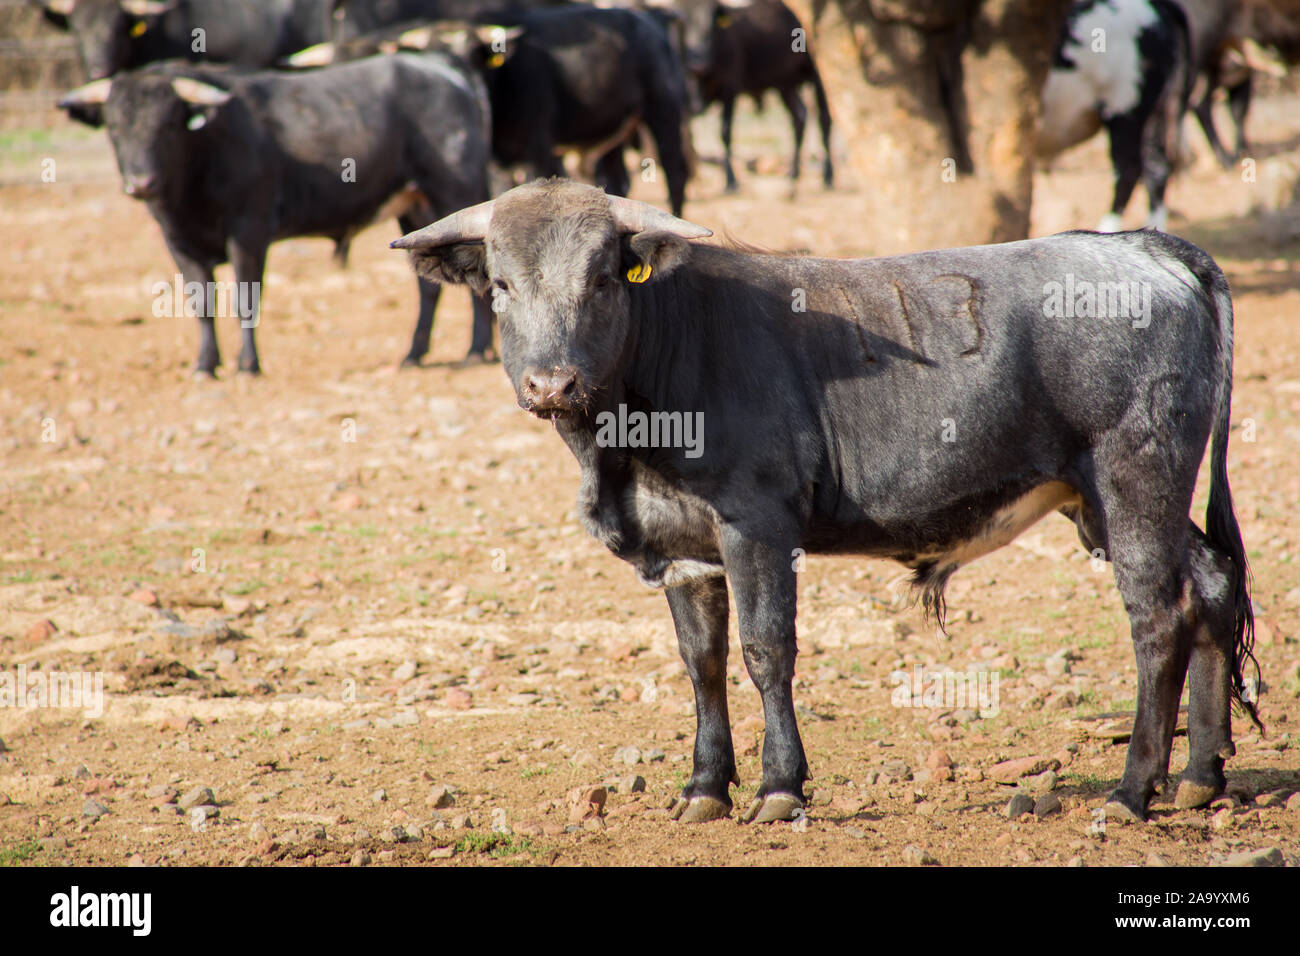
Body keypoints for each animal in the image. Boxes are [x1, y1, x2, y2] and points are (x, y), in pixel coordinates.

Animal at [58, 54, 495, 373]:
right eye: (114, 127)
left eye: (168, 124)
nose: (141, 183)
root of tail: (440, 66)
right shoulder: (178, 241)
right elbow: (202, 303)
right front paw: (206, 364)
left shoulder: (248, 233)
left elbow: (245, 298)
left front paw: (248, 364)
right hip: (416, 211)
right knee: (429, 287)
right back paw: (414, 354)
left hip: (455, 196)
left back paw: (476, 350)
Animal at [392, 178, 1260, 825]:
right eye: (501, 287)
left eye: (601, 278)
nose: (551, 384)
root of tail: (1140, 244)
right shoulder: (685, 553)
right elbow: (702, 664)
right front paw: (703, 788)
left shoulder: (758, 527)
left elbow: (764, 650)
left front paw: (779, 786)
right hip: (1103, 501)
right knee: (1212, 585)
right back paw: (1200, 774)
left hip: (1133, 479)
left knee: (1157, 618)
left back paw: (1133, 788)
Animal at [1039, 0, 1194, 231]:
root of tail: (1160, 5)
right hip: (1155, 112)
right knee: (1156, 168)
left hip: (1126, 108)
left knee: (1129, 169)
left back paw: (1106, 227)